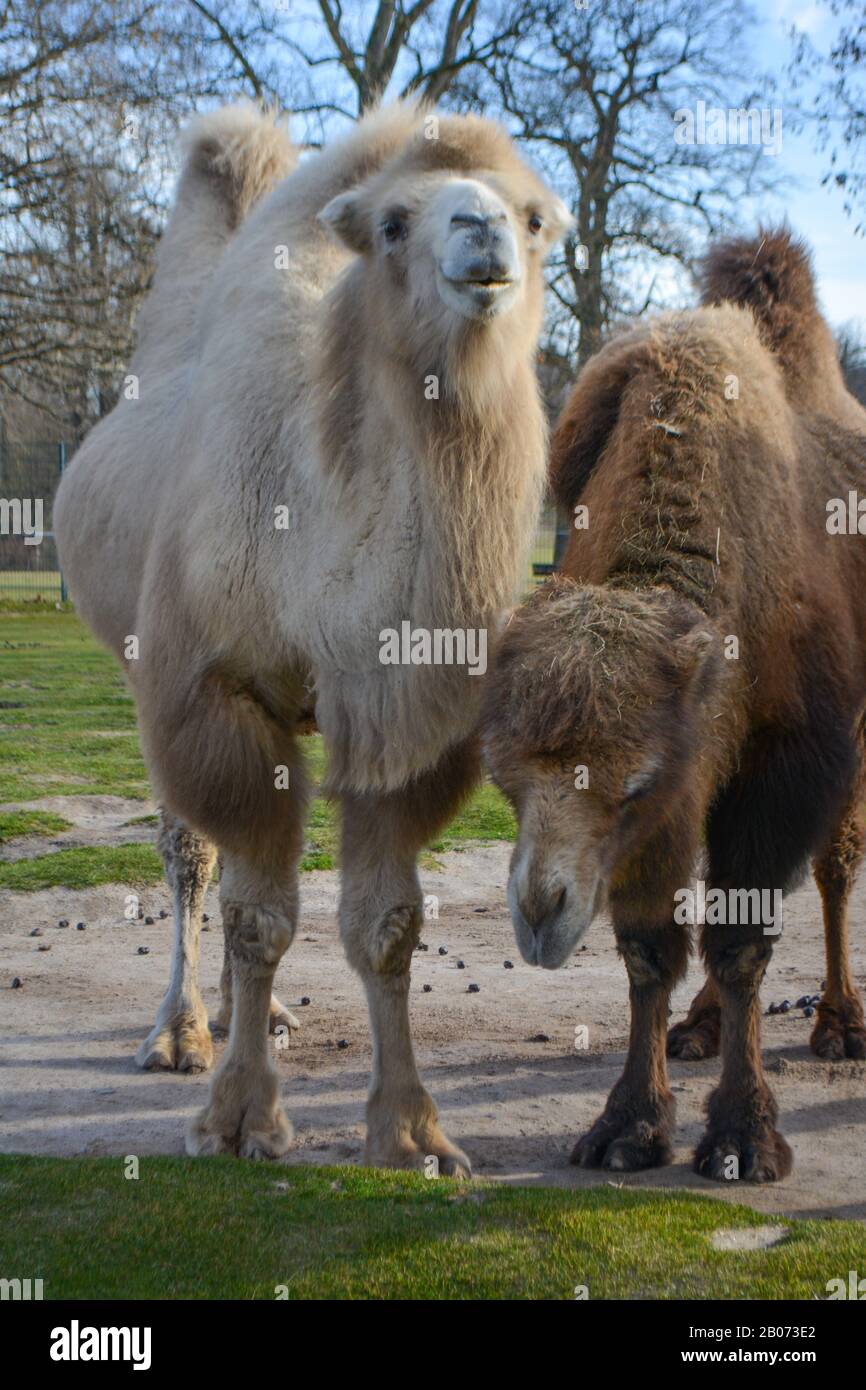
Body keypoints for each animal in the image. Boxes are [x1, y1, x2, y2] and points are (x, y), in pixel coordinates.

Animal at [54, 101, 571, 1170]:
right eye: (394, 223)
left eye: (536, 216)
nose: (482, 234)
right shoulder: (209, 690)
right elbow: (254, 911)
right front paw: (239, 1118)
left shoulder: (398, 711)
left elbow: (388, 925)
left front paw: (412, 1134)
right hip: (141, 666)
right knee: (190, 852)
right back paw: (180, 1031)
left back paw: (259, 1013)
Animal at [482, 229, 866, 1182]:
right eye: (505, 783)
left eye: (630, 785)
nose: (538, 914)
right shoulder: (681, 788)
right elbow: (651, 949)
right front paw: (628, 1125)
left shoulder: (777, 762)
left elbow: (743, 941)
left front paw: (742, 1139)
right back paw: (703, 1027)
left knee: (837, 867)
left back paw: (841, 1024)